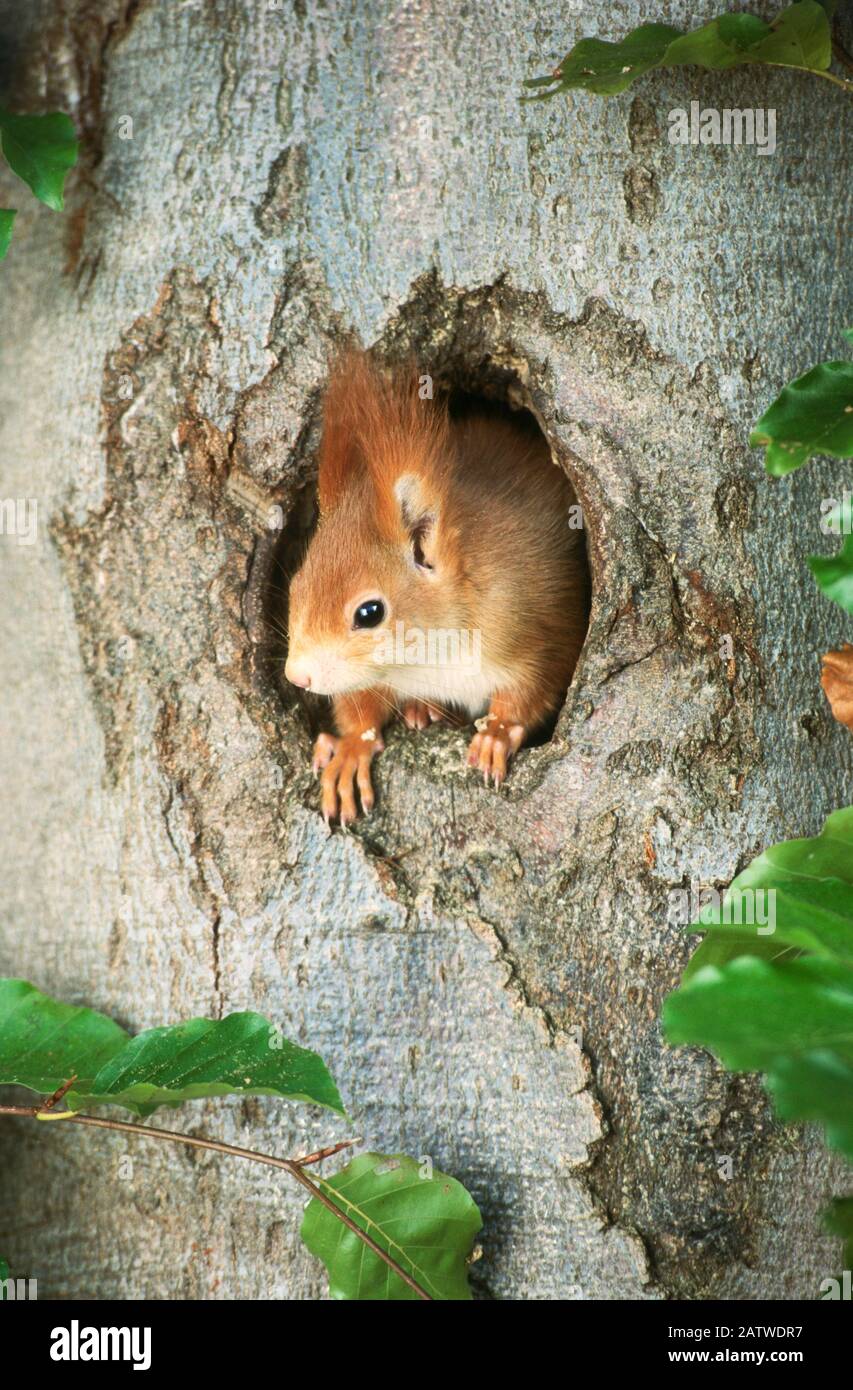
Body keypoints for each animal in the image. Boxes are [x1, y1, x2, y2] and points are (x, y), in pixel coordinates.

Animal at [284, 349, 589, 823]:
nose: (296, 675)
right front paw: (352, 747)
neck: (429, 657)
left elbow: (535, 688)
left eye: (369, 612)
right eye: (296, 585)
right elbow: (359, 705)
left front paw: (498, 732)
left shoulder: (535, 622)